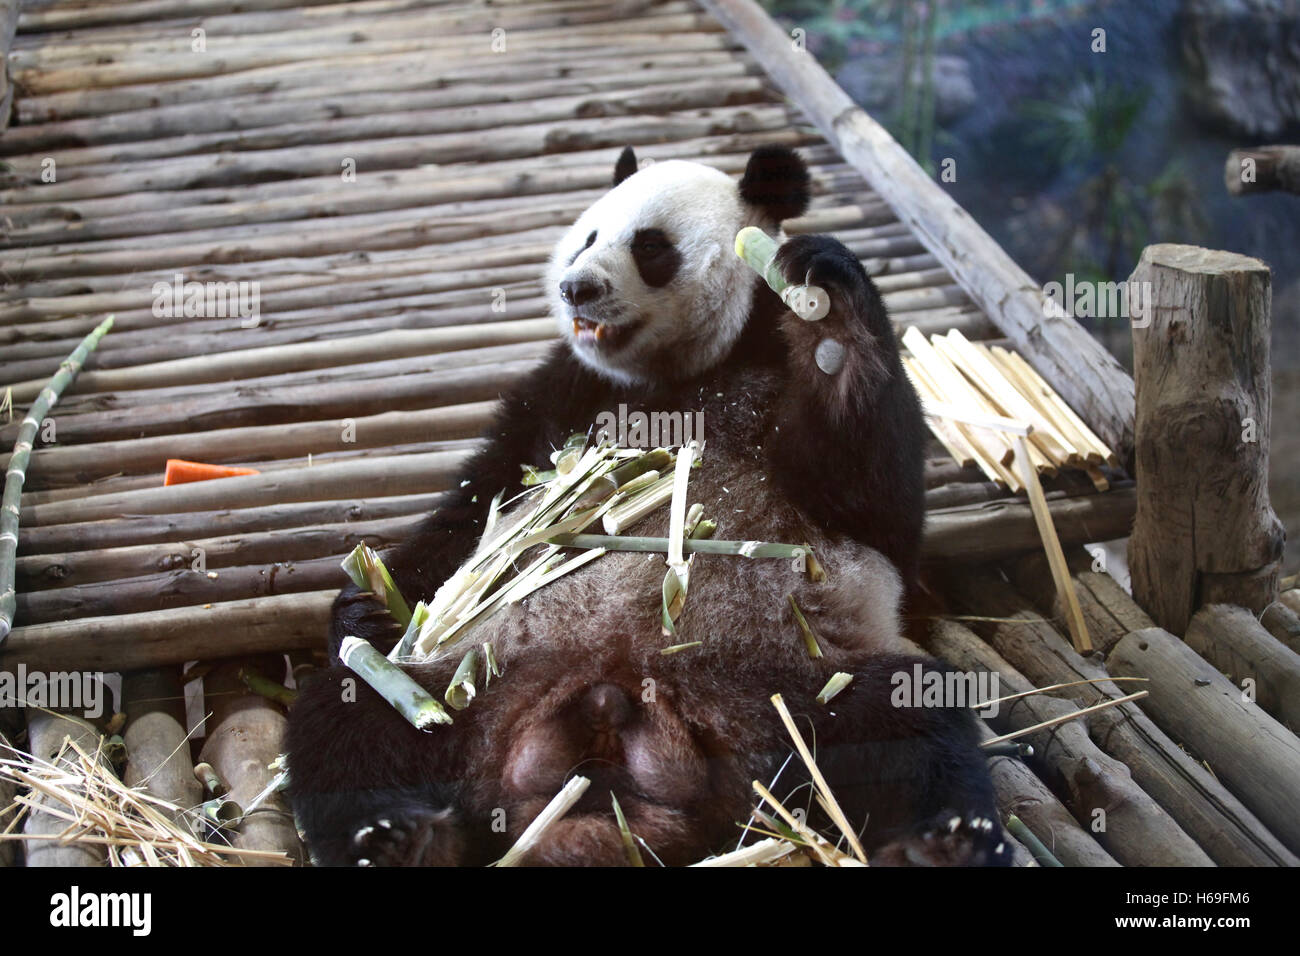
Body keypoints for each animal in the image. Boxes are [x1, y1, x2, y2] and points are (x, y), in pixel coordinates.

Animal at [285, 145, 1010, 867]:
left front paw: (826, 312)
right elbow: (477, 506)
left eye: (651, 246)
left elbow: (871, 500)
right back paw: (393, 835)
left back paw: (947, 838)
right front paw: (369, 600)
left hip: (792, 694)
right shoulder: (566, 394)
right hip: (457, 685)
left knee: (909, 717)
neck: (683, 372)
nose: (577, 287)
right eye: (587, 236)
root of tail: (610, 708)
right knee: (350, 719)